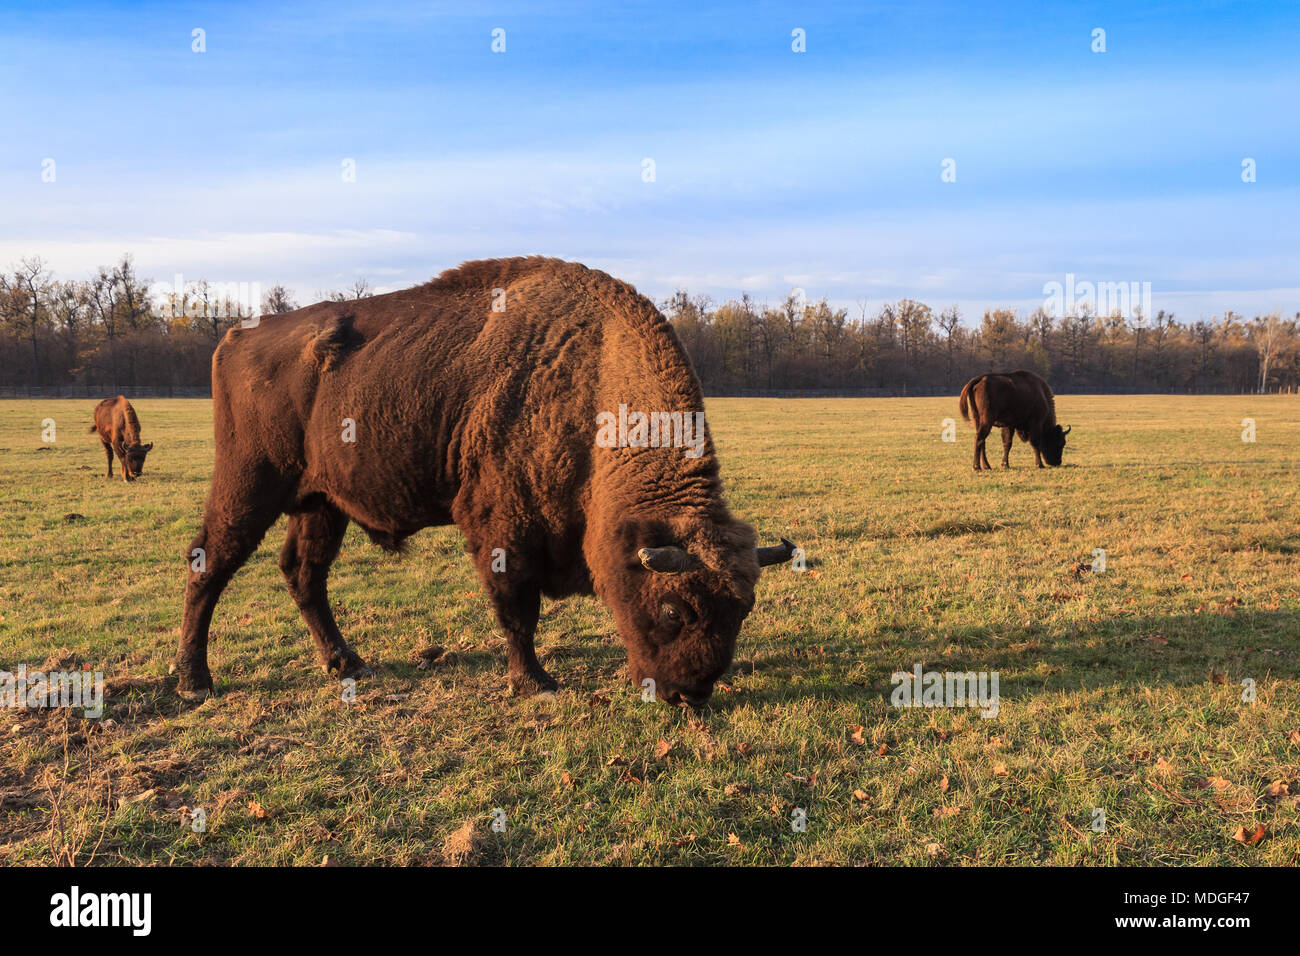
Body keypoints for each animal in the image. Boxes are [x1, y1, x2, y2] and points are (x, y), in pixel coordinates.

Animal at [176, 257, 796, 708]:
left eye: (742, 611)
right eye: (674, 612)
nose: (689, 695)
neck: (593, 380)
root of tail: (235, 337)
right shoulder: (502, 529)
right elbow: (517, 611)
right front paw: (535, 683)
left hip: (321, 503)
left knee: (304, 574)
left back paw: (346, 662)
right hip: (248, 484)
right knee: (209, 561)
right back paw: (194, 680)